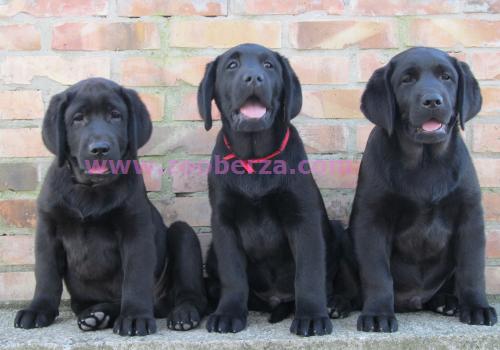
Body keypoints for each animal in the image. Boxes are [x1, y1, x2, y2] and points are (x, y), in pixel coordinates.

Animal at [14, 78, 207, 334]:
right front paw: (38, 309)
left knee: (190, 292)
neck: (91, 189)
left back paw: (183, 314)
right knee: (109, 302)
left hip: (183, 236)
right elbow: (46, 274)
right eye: (78, 118)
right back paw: (97, 315)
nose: (99, 148)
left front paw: (135, 316)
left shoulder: (136, 229)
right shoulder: (47, 229)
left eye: (115, 115)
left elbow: (135, 277)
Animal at [195, 43, 348, 336]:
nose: (254, 78)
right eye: (232, 65)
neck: (256, 160)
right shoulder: (223, 221)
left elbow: (309, 272)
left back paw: (335, 303)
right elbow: (233, 274)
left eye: (269, 66)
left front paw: (312, 316)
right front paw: (228, 314)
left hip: (335, 230)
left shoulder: (303, 218)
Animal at [352, 47, 496, 334]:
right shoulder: (371, 219)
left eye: (446, 77)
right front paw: (377, 314)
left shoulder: (470, 216)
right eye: (407, 80)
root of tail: (415, 300)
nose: (432, 101)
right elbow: (377, 273)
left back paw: (447, 302)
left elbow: (473, 269)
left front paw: (477, 307)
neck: (425, 161)